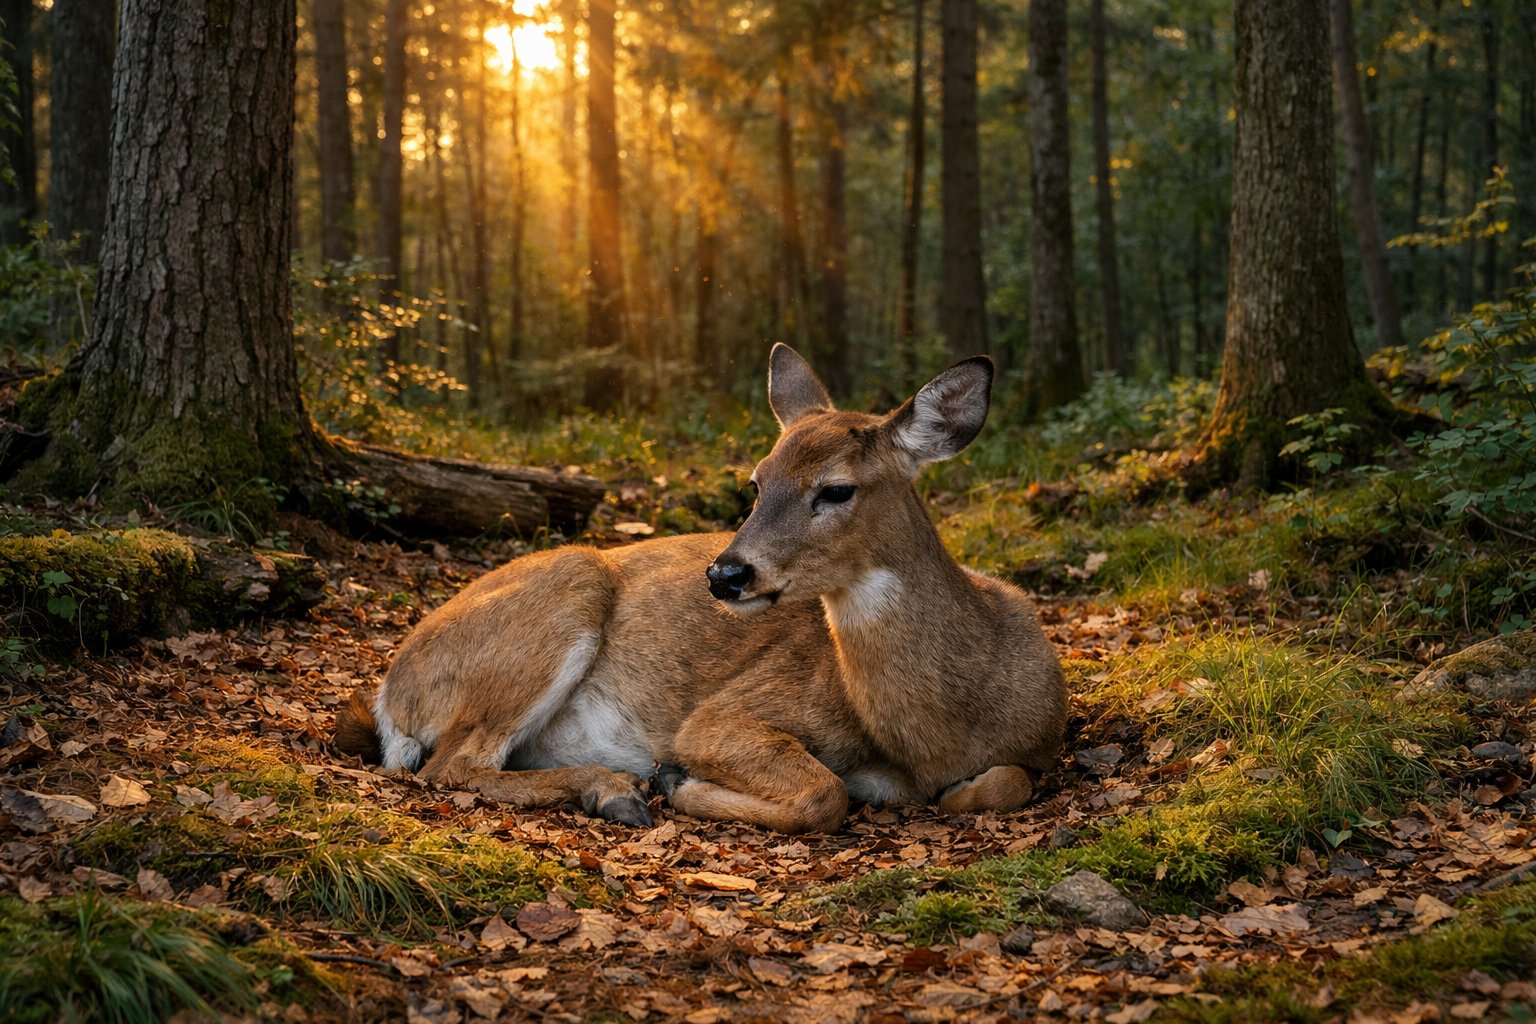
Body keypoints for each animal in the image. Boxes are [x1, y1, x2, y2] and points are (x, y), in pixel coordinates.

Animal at [332, 344, 1067, 834]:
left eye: (836, 489)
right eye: (756, 481)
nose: (725, 572)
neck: (944, 726)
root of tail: (391, 691)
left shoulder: (1034, 745)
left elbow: (1007, 782)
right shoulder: (721, 716)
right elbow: (823, 794)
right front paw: (678, 780)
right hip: (566, 590)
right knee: (452, 764)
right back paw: (616, 789)